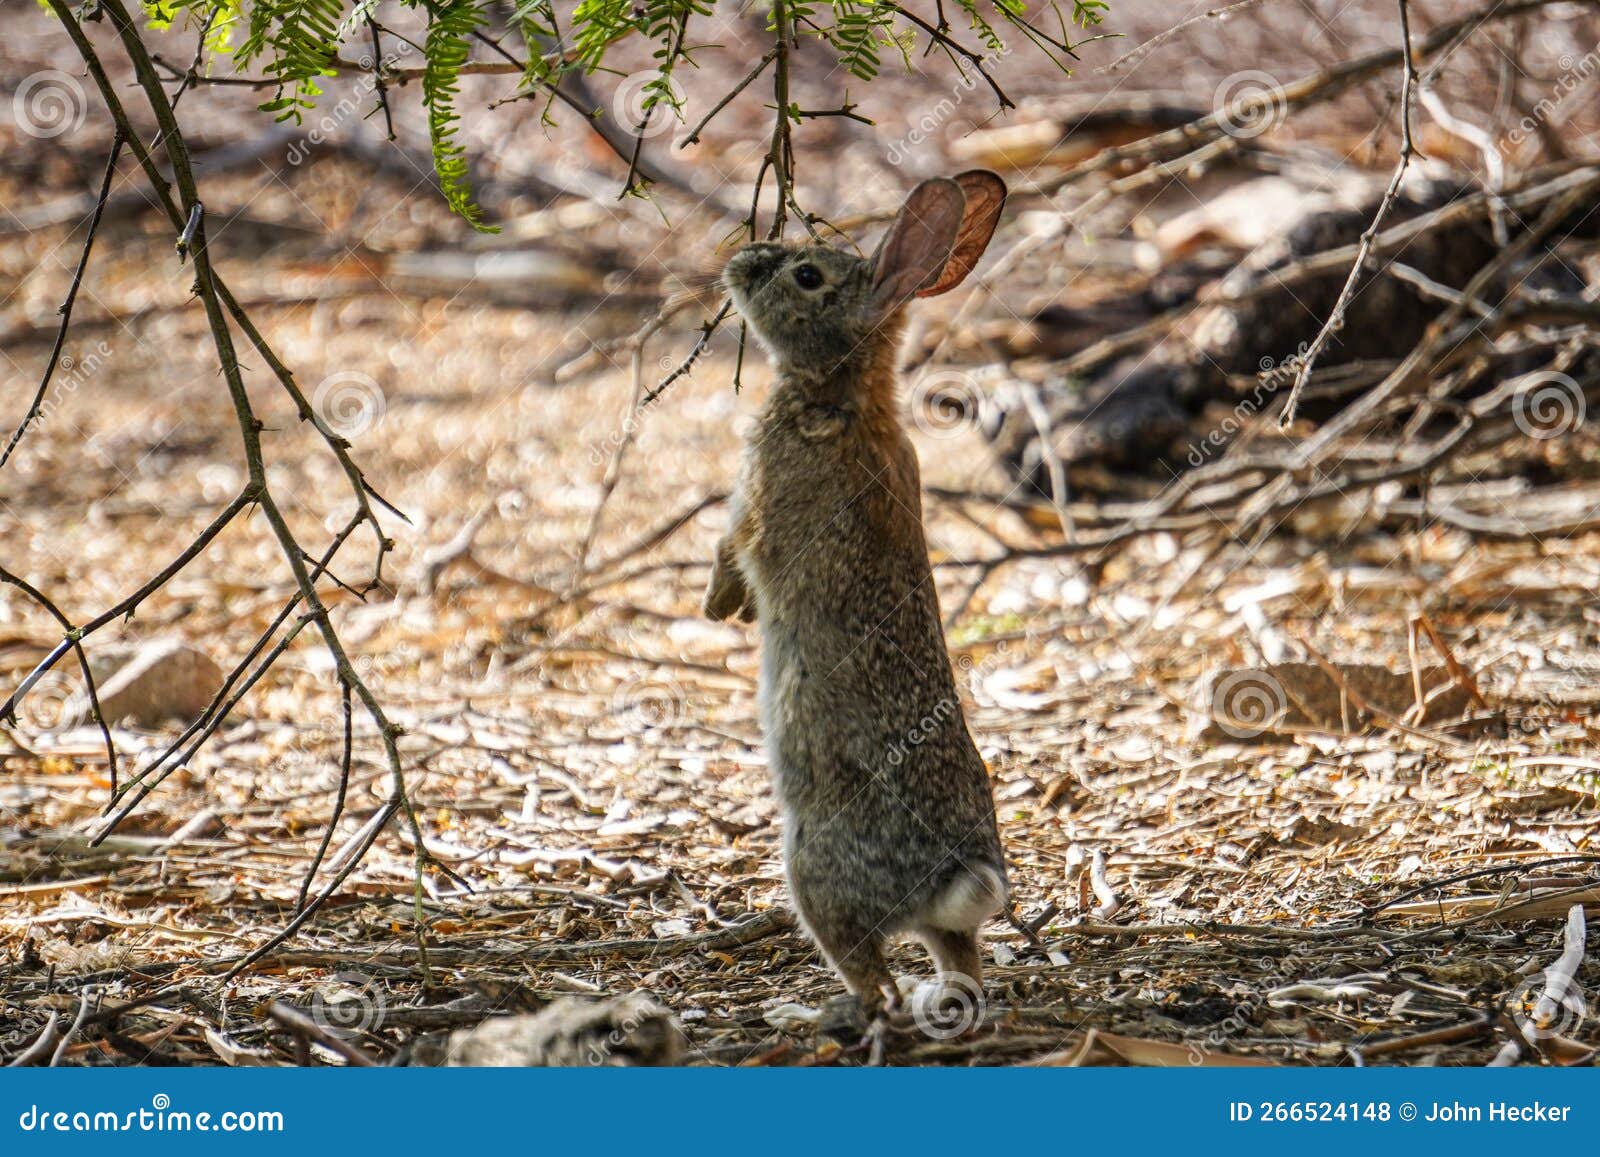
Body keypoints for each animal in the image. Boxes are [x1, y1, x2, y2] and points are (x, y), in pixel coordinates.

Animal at [705, 172, 1010, 1021]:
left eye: (806, 276)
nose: (741, 261)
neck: (839, 393)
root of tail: (958, 878)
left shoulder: (754, 506)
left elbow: (734, 544)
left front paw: (721, 604)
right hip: (940, 926)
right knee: (961, 961)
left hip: (811, 867)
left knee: (869, 974)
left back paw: (811, 1013)